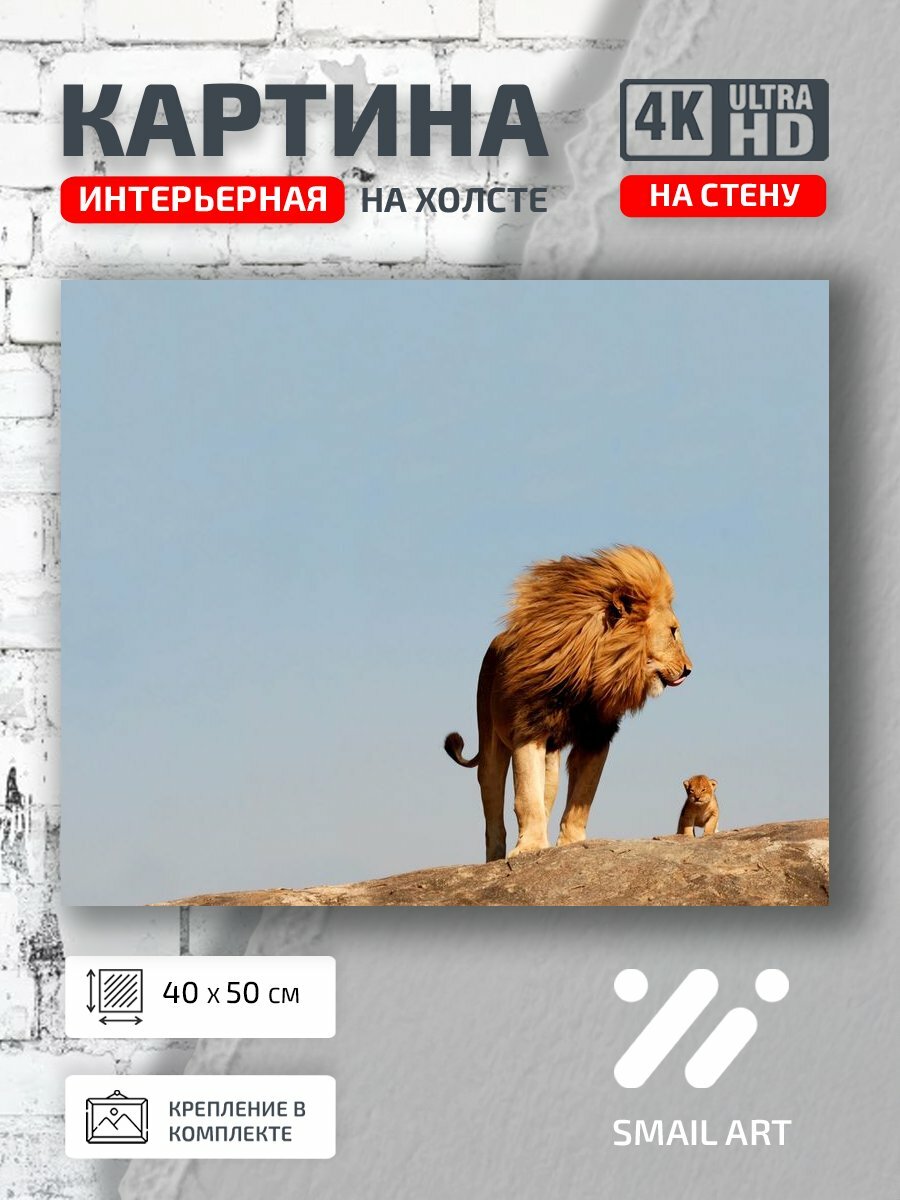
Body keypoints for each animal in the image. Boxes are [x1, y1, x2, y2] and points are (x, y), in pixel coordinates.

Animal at [444, 545, 692, 861]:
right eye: (673, 631)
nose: (689, 669)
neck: (592, 670)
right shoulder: (529, 729)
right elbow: (526, 797)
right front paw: (529, 847)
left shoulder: (596, 736)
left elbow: (582, 798)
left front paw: (570, 844)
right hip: (490, 743)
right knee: (493, 806)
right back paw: (496, 857)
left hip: (551, 761)